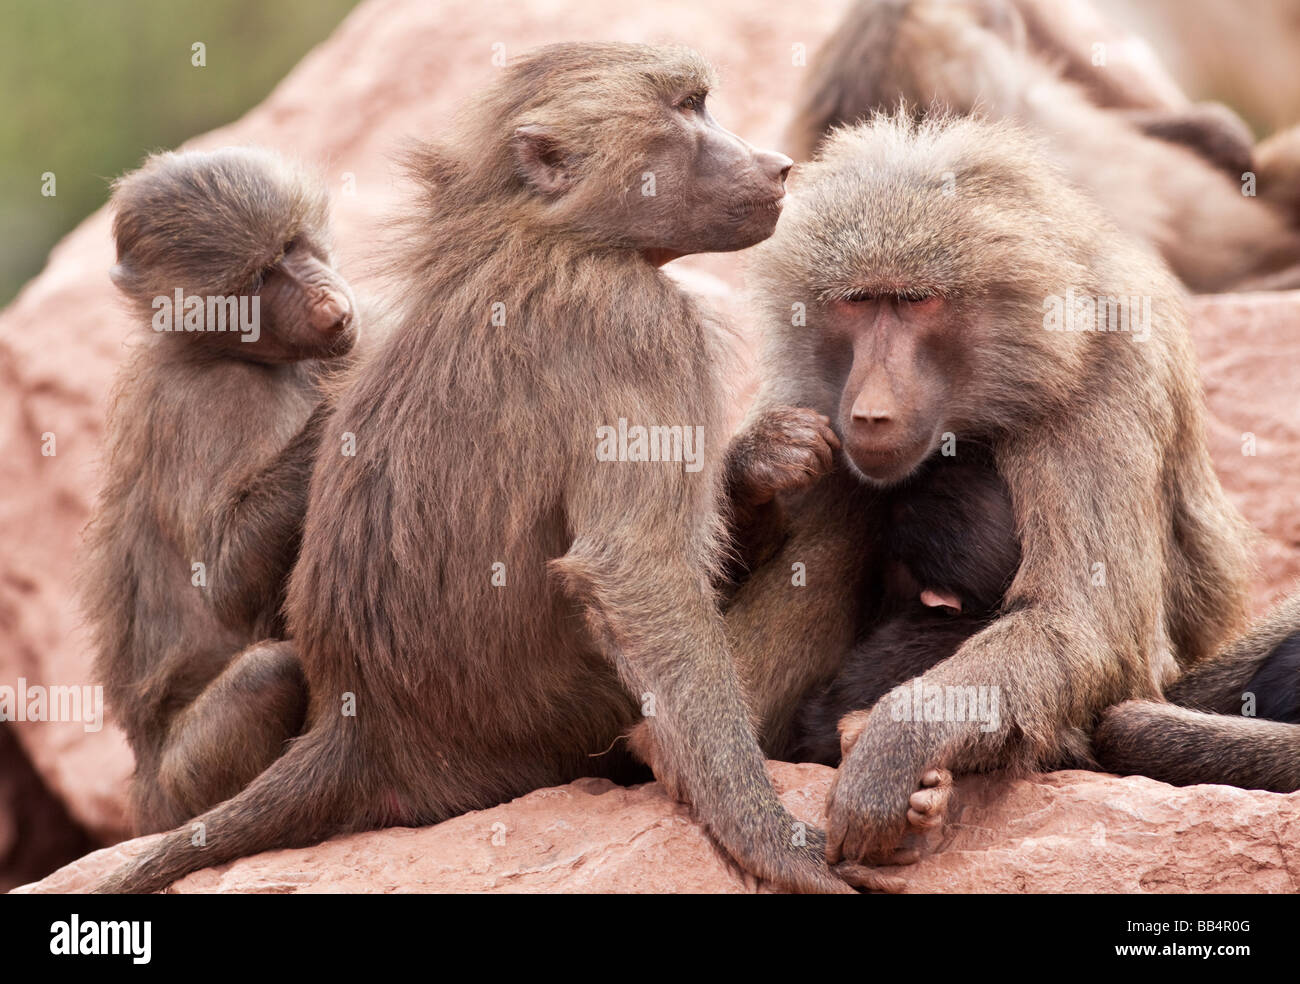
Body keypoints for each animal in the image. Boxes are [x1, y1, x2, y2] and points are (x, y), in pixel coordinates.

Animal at [82, 147, 358, 835]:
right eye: (258, 280)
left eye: (291, 246)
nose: (330, 308)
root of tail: (145, 790)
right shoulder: (201, 405)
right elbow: (226, 578)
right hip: (182, 784)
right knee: (268, 674)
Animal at [708, 113, 1255, 872]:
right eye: (858, 302)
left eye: (915, 302)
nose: (868, 411)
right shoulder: (814, 397)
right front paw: (759, 461)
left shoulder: (1104, 374)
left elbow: (1077, 623)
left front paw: (888, 757)